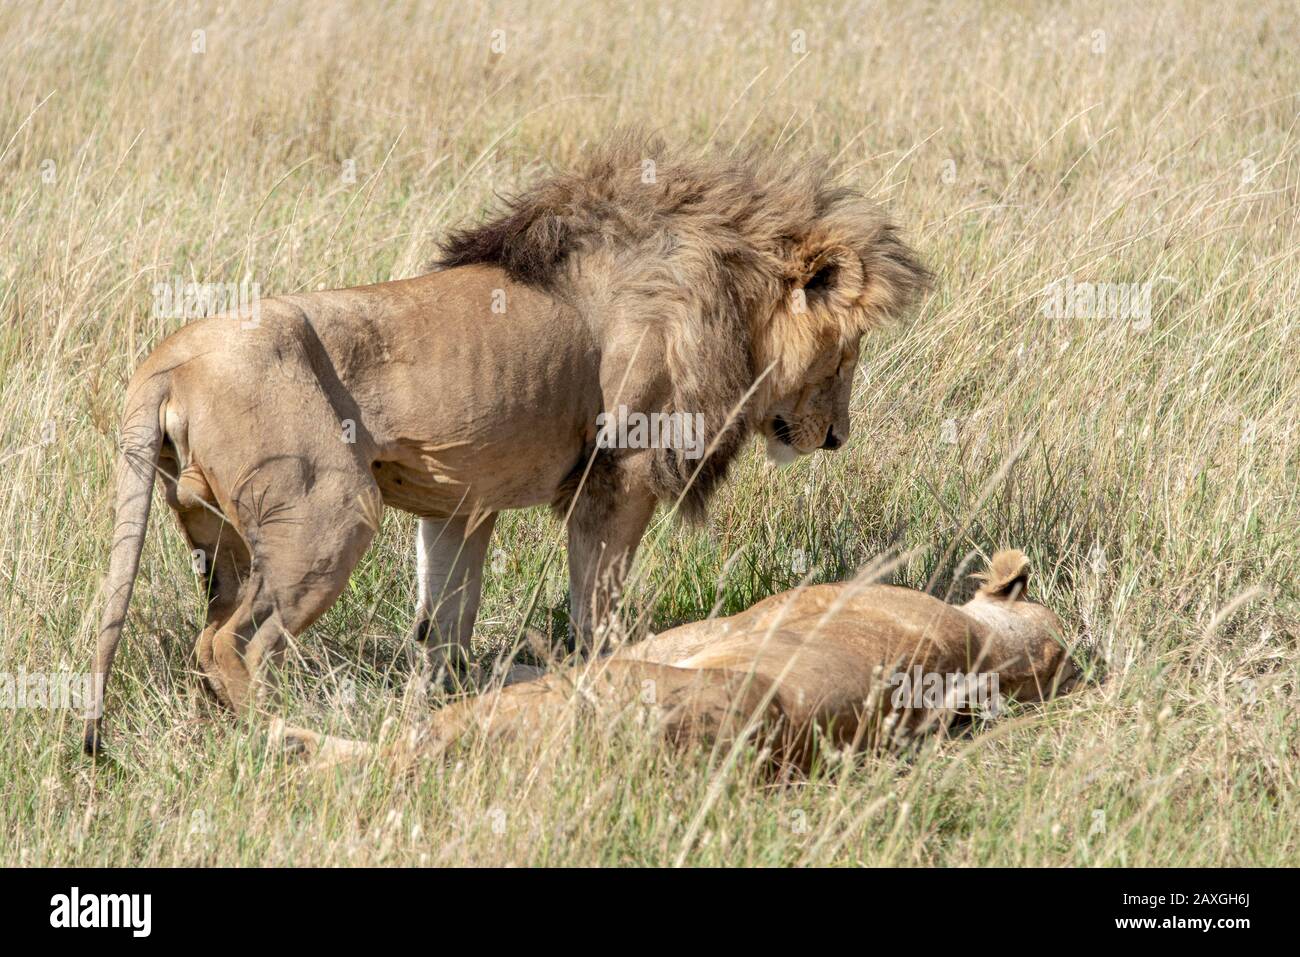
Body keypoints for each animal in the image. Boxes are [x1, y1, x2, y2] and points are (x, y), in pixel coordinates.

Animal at [85, 132, 929, 754]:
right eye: (846, 354)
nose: (839, 438)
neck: (725, 286)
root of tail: (167, 361)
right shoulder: (619, 475)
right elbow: (597, 608)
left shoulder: (459, 506)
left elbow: (443, 628)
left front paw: (442, 706)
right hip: (330, 515)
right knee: (231, 645)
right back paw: (282, 736)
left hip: (223, 538)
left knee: (214, 634)